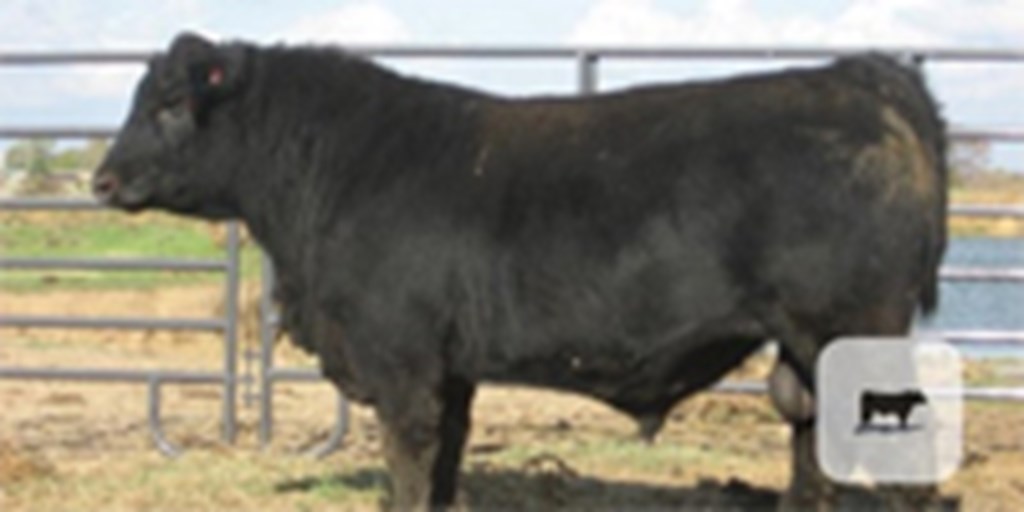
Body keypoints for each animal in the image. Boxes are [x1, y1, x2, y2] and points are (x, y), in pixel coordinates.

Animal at [93, 33, 947, 510]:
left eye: (170, 104)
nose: (101, 179)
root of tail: (860, 77)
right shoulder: (452, 369)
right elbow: (444, 469)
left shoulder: (402, 363)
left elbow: (411, 467)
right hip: (808, 349)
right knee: (811, 451)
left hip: (855, 332)